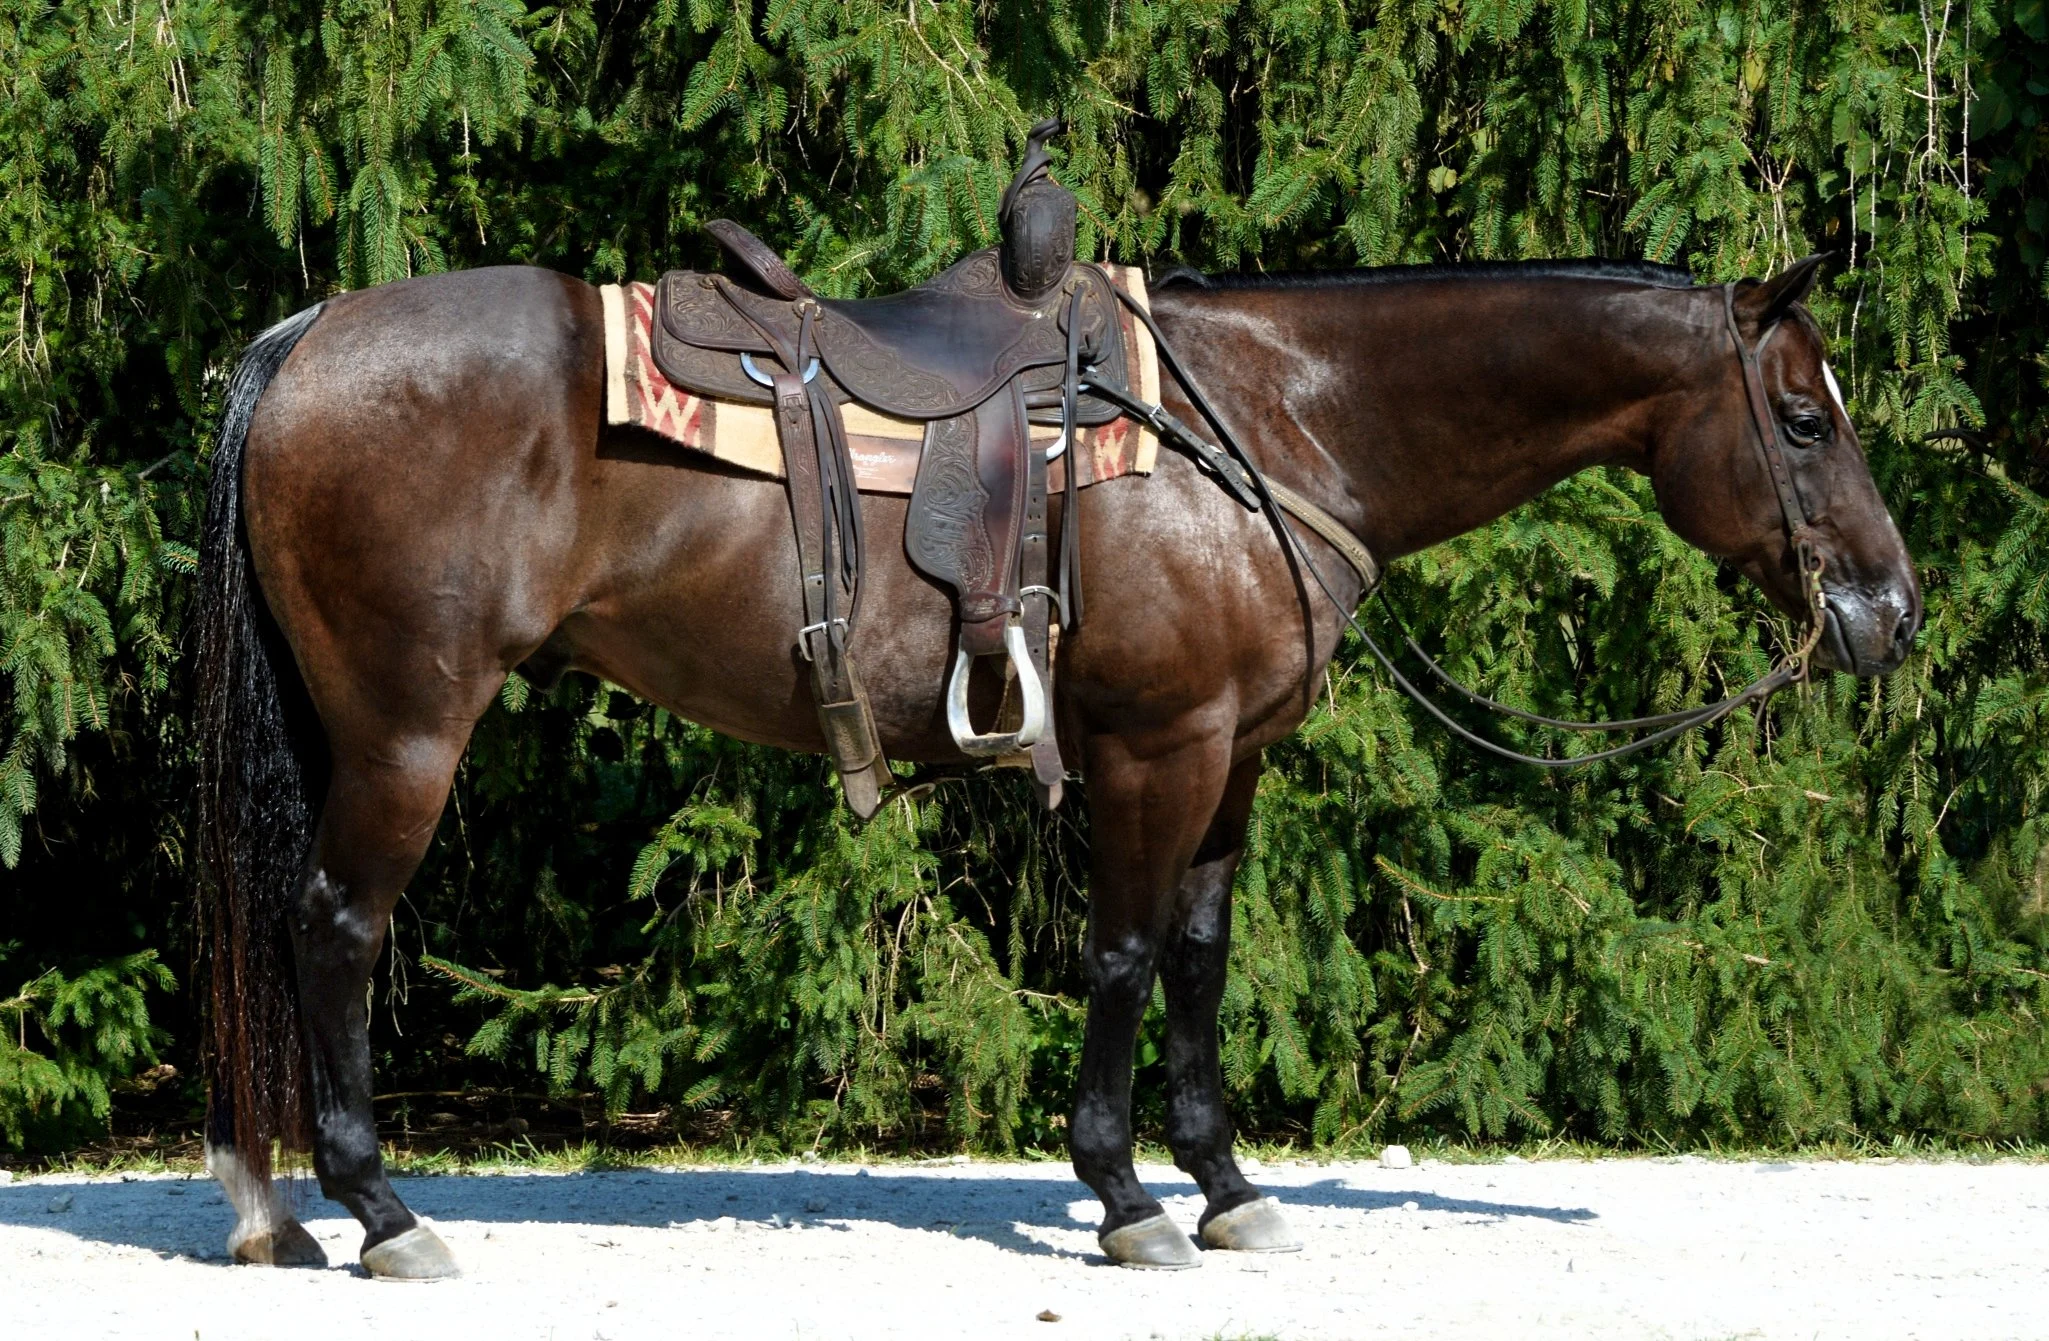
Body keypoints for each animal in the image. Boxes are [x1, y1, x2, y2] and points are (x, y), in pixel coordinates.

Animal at [193, 249, 1920, 1276]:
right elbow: (1123, 954)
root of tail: (306, 335)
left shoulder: (1233, 756)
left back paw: (293, 1210)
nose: (1890, 610)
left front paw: (1227, 1183)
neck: (1274, 423)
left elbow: (1204, 961)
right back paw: (381, 1209)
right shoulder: (1159, 745)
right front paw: (1127, 1193)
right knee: (336, 930)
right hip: (409, 728)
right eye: (1802, 418)